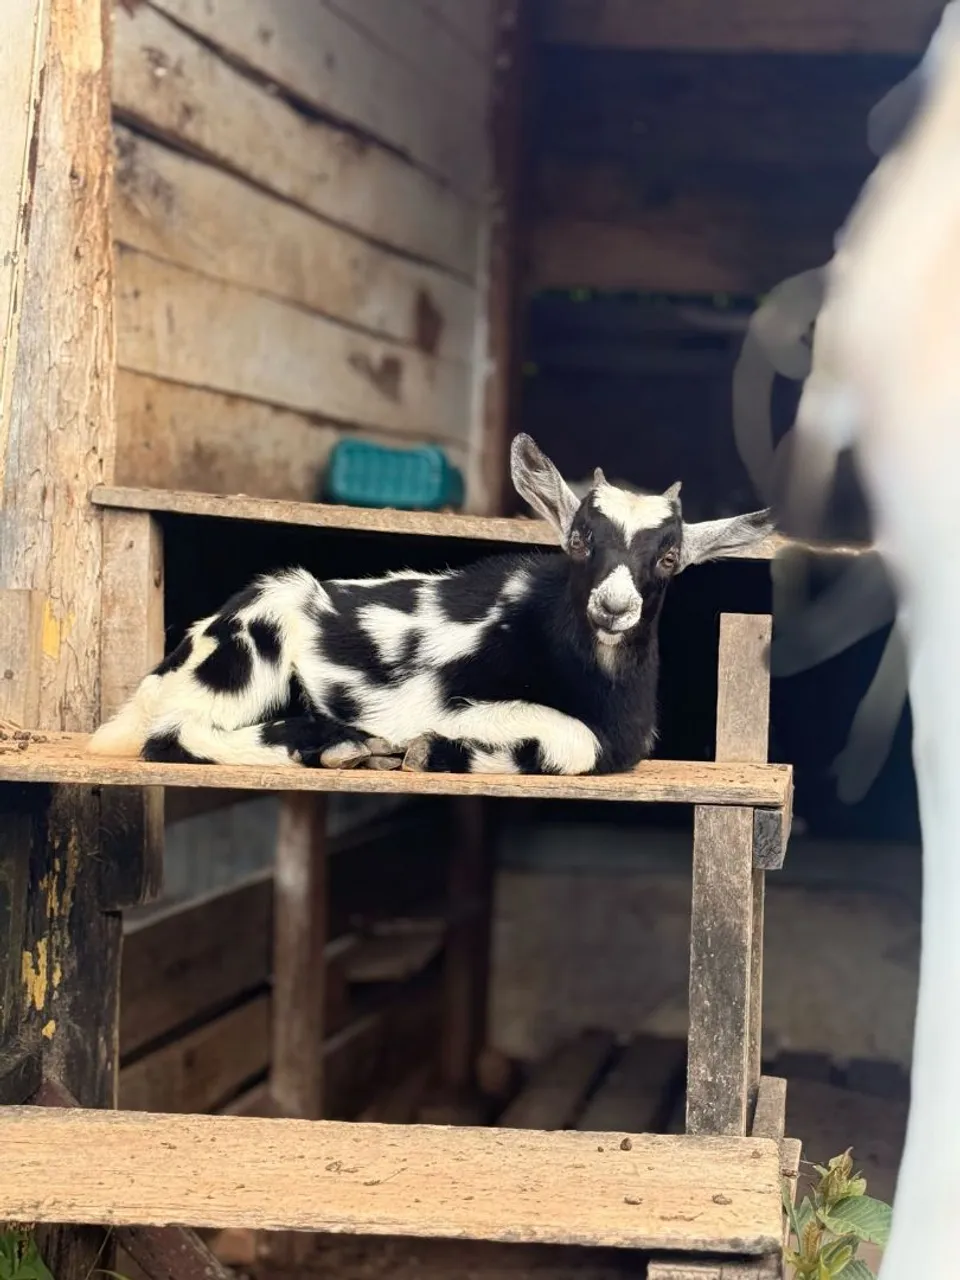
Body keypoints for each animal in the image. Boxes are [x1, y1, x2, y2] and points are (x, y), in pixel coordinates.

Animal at [88, 435, 772, 776]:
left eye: (669, 558)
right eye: (580, 540)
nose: (613, 607)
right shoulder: (451, 698)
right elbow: (573, 741)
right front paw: (433, 747)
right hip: (252, 643)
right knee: (170, 736)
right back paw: (338, 741)